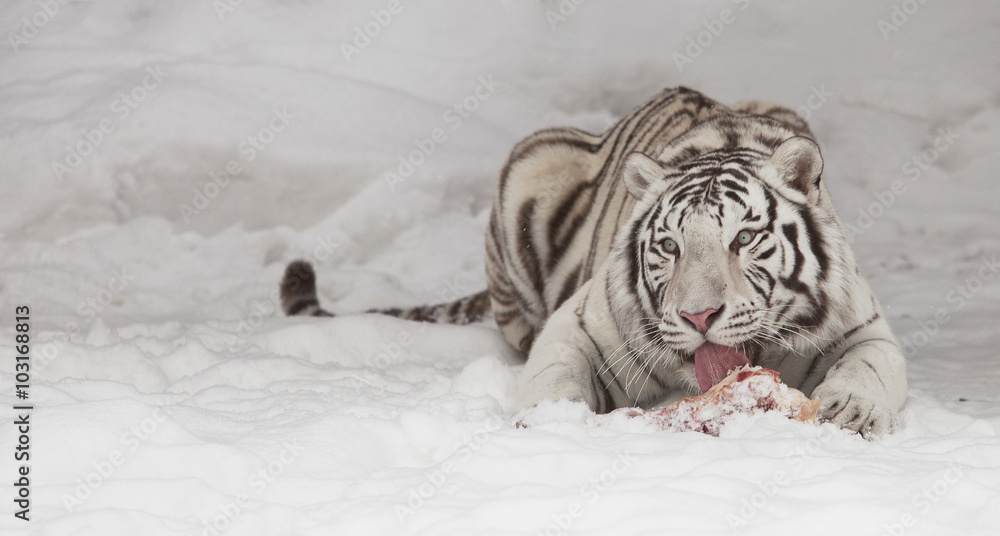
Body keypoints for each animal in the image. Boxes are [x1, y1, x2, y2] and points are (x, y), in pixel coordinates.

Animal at [280, 87, 908, 437]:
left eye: (744, 239)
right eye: (670, 247)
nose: (698, 317)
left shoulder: (864, 328)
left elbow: (867, 368)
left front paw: (850, 413)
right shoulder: (579, 323)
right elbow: (555, 373)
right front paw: (544, 423)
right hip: (530, 163)